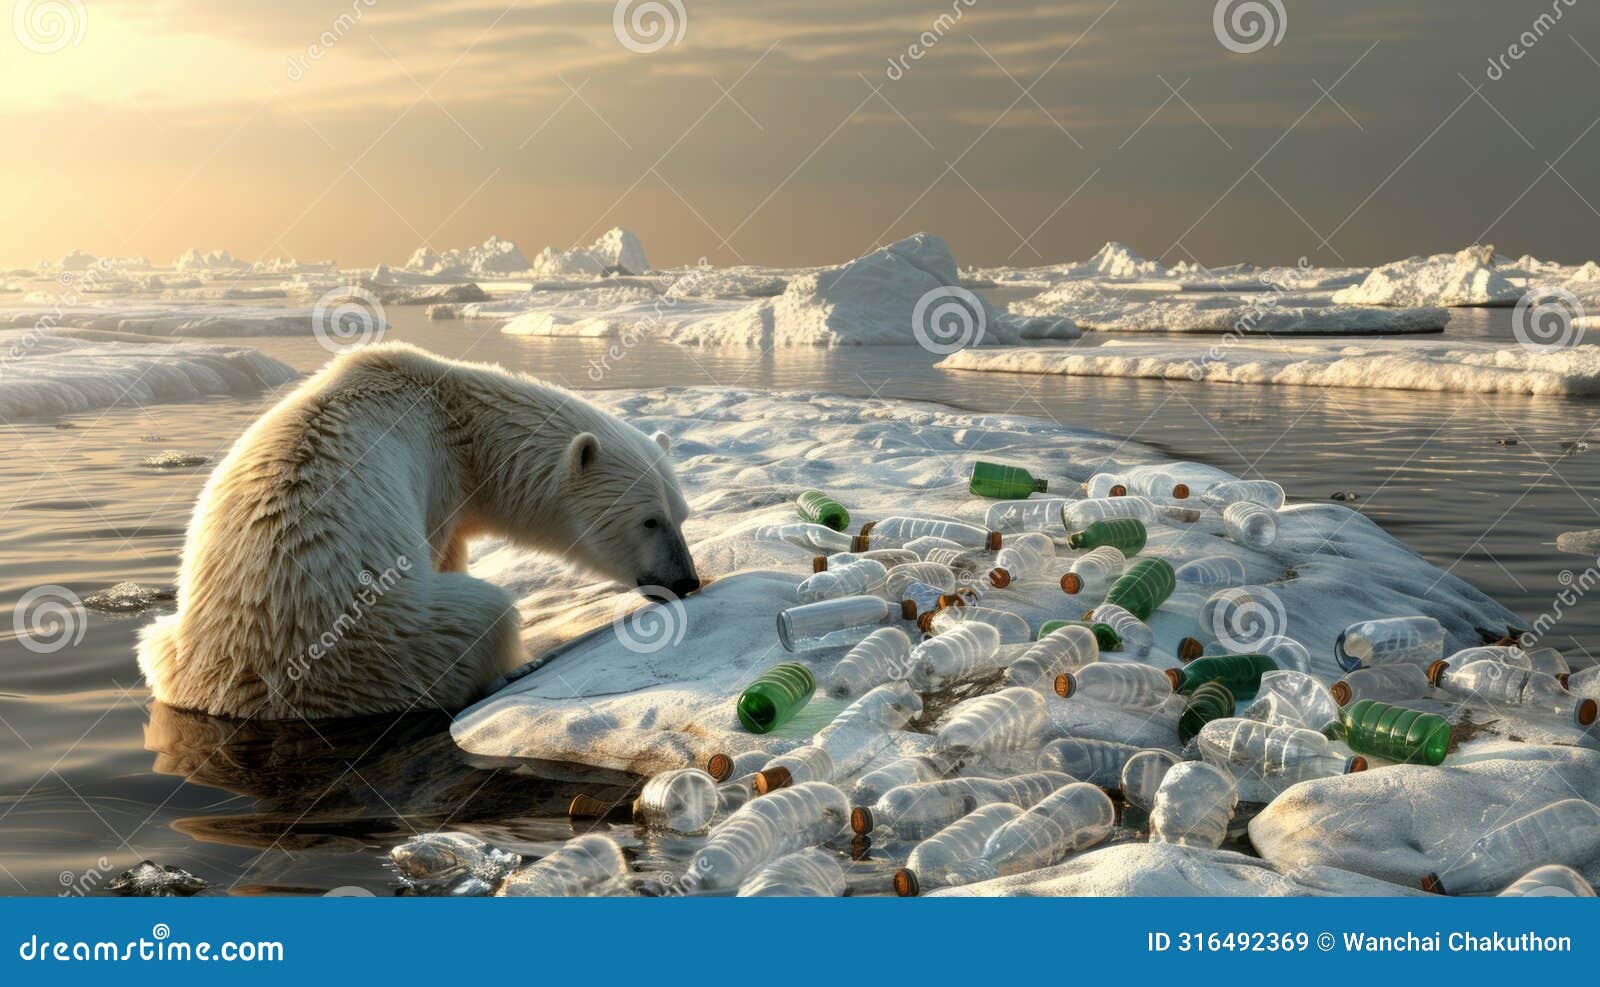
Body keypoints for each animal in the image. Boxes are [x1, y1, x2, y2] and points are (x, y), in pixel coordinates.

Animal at [137, 342, 698, 720]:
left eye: (682, 515)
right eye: (649, 520)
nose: (687, 581)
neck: (459, 418)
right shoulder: (436, 481)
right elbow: (444, 555)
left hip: (168, 643)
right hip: (389, 644)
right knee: (485, 609)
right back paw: (515, 664)